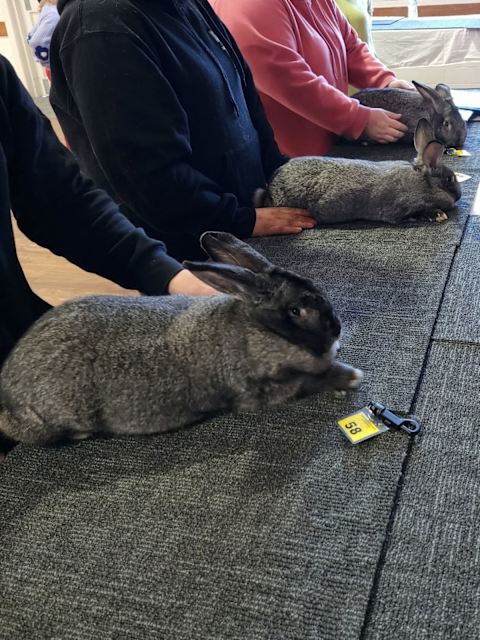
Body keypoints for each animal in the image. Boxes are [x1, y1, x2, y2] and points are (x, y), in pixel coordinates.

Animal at [0, 232, 362, 447]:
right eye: (296, 310)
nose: (336, 328)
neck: (259, 328)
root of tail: (8, 397)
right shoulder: (262, 390)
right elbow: (307, 383)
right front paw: (351, 376)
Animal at [255, 119, 461, 225]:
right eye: (450, 179)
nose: (459, 196)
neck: (423, 182)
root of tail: (270, 189)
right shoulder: (400, 209)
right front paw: (437, 215)